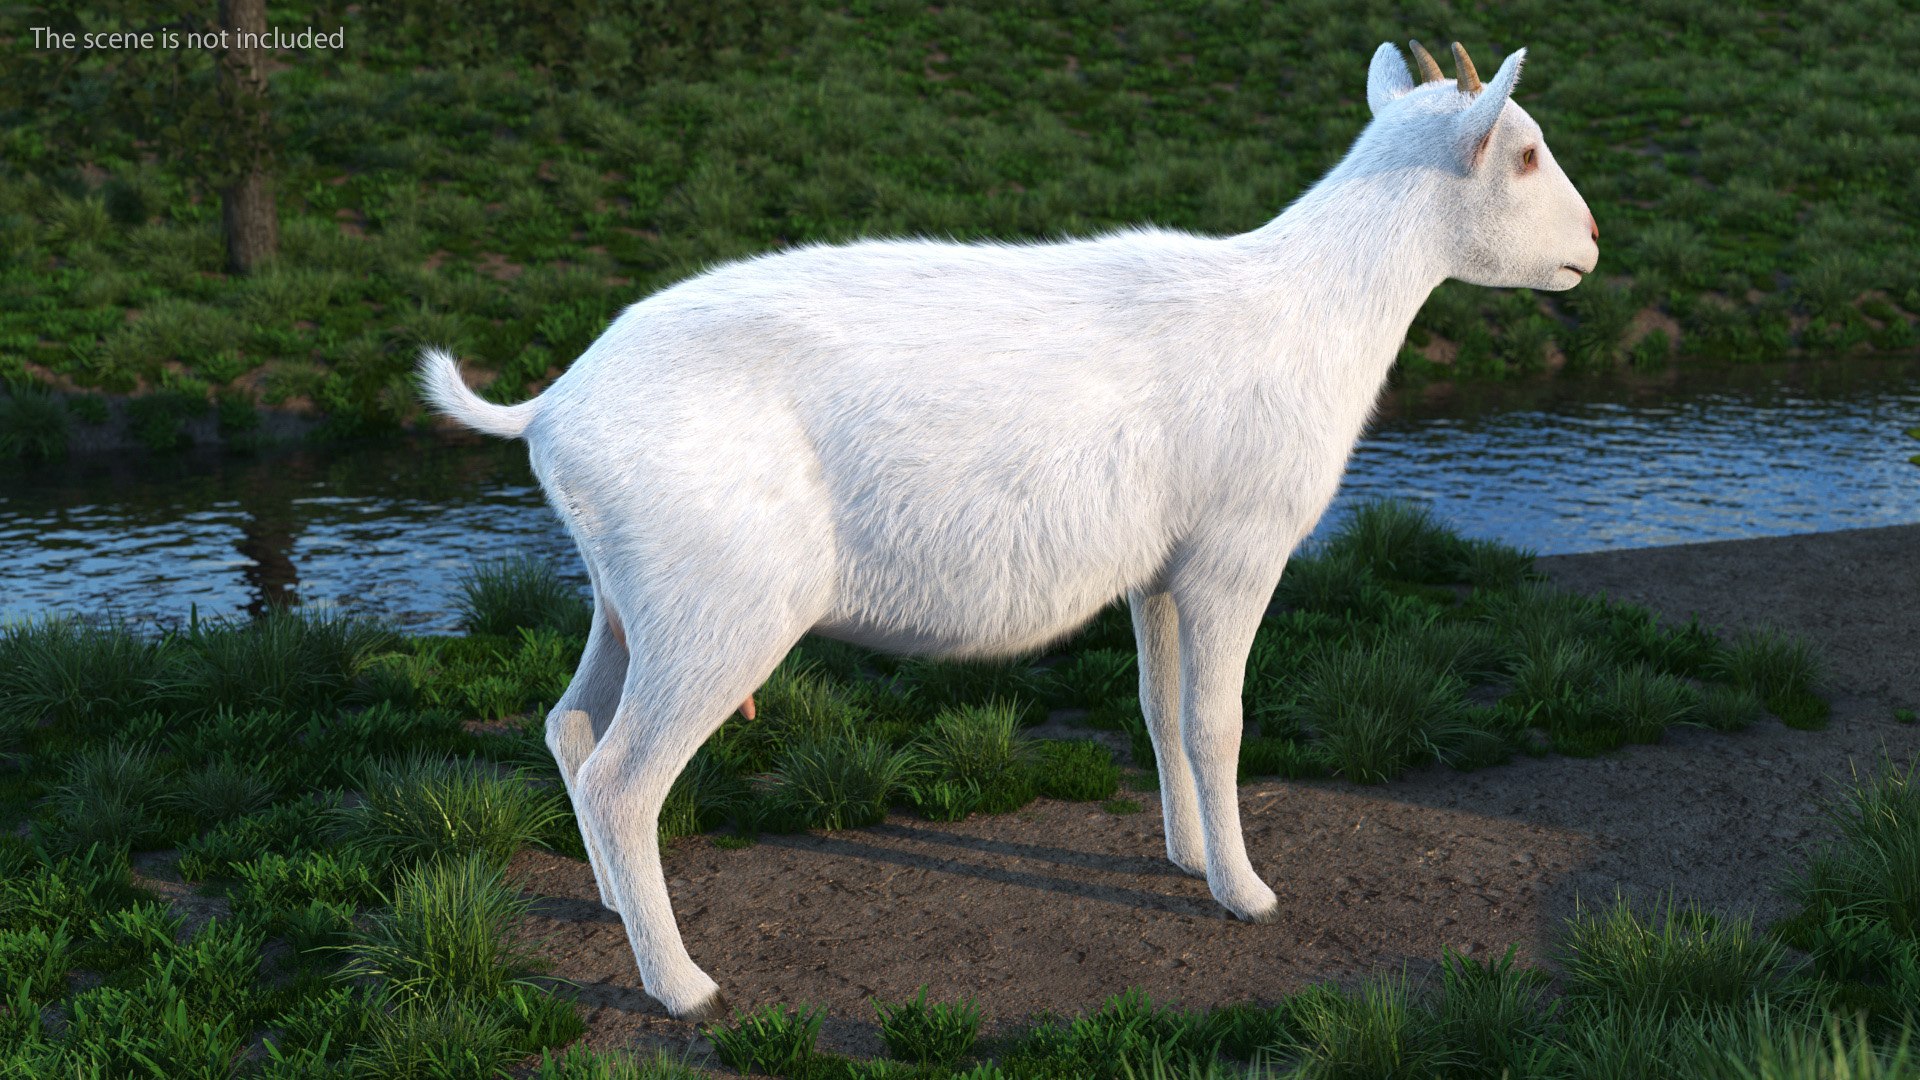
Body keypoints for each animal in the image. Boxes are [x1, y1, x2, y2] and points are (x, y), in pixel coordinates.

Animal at [420, 40, 1597, 1020]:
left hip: (628, 601)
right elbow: (1217, 723)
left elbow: (1159, 712)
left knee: (570, 729)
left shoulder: (1160, 570)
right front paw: (1248, 894)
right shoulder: (1236, 554)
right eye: (1526, 152)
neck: (1312, 308)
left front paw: (1186, 859)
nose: (1591, 243)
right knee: (623, 779)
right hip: (719, 614)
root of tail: (550, 407)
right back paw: (682, 986)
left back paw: (619, 911)